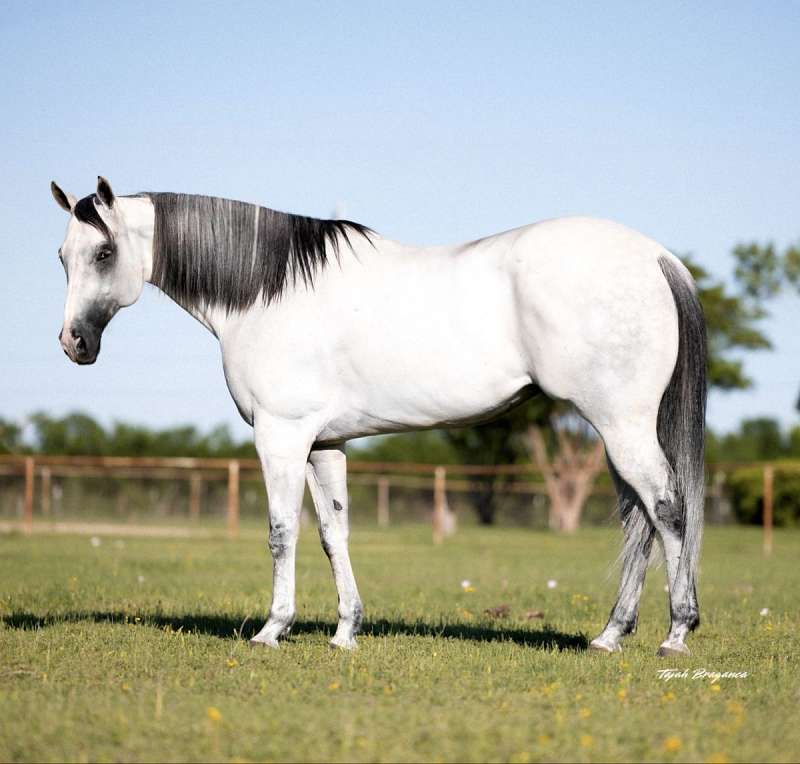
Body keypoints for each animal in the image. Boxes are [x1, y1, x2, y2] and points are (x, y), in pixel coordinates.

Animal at [50, 176, 706, 656]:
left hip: (621, 425)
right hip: (618, 432)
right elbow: (332, 533)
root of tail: (655, 256)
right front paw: (346, 632)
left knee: (666, 509)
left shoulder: (281, 435)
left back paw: (676, 635)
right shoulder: (323, 444)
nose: (74, 343)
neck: (268, 293)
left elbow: (281, 531)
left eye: (104, 252)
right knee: (640, 520)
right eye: (62, 256)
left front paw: (273, 629)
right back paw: (610, 635)